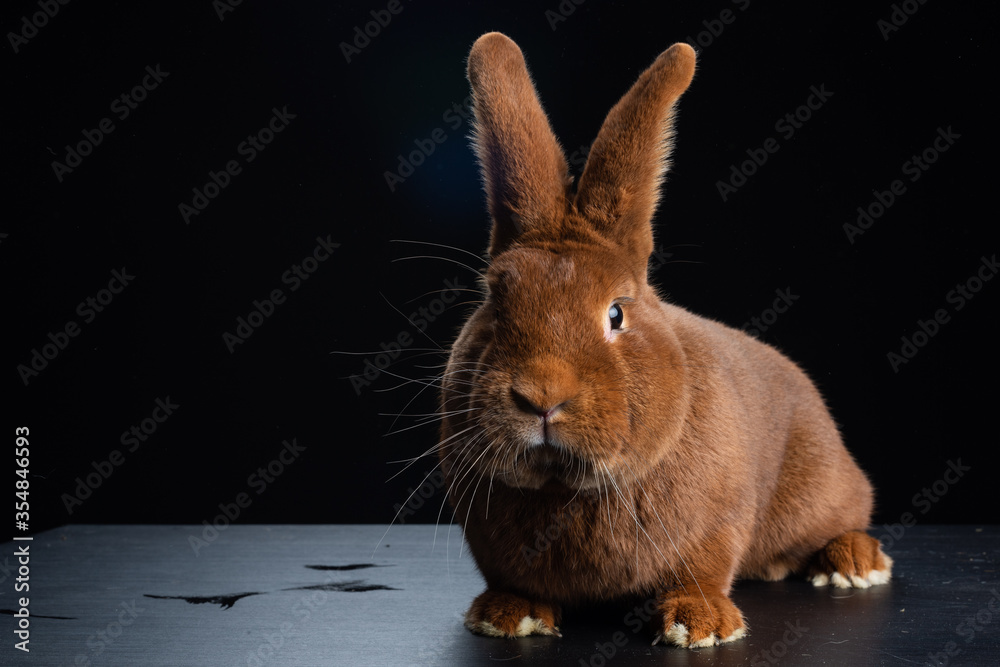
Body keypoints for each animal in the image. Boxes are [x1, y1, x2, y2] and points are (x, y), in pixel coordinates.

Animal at [437, 31, 892, 648]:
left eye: (616, 314)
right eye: (495, 301)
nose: (542, 397)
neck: (566, 488)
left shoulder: (717, 524)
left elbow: (700, 572)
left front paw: (699, 625)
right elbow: (512, 582)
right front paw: (507, 615)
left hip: (823, 486)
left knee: (848, 513)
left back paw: (855, 561)